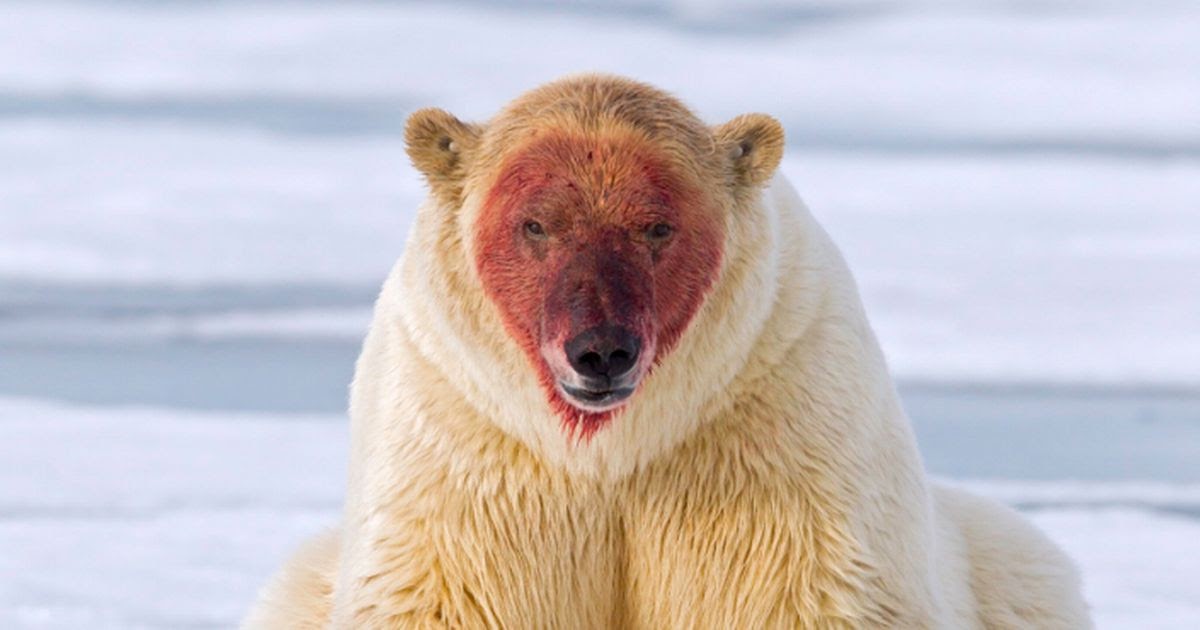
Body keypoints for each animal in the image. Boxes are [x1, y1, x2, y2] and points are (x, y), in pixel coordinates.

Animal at [244, 74, 1091, 629]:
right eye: (535, 223)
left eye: (658, 225)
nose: (601, 352)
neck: (610, 452)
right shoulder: (463, 457)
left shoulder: (775, 448)